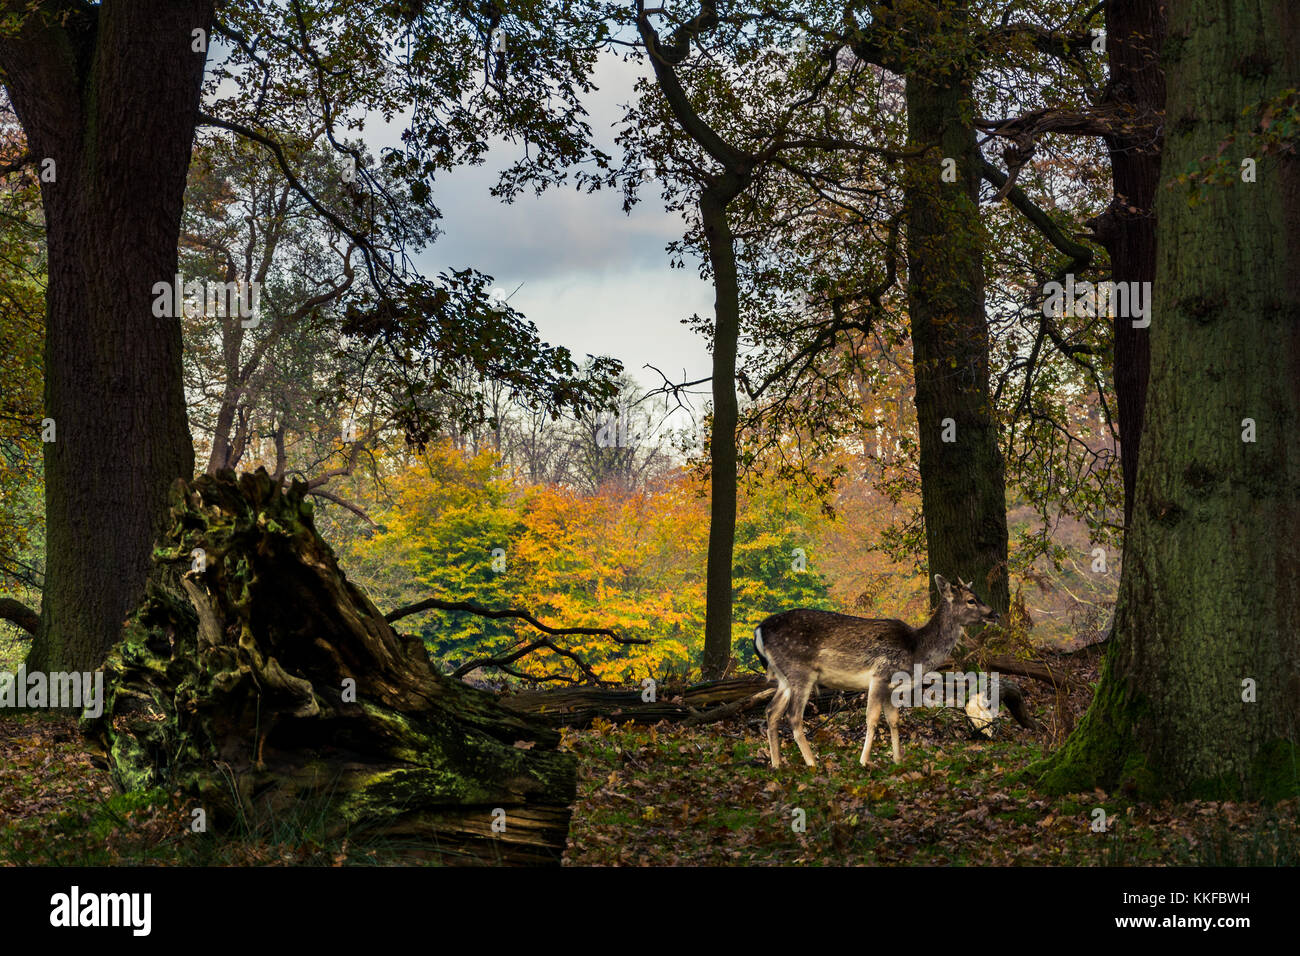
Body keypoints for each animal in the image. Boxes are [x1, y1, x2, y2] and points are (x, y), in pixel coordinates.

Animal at [752, 574, 1000, 769]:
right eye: (971, 600)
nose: (995, 614)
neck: (916, 651)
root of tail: (759, 631)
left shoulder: (891, 686)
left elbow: (893, 720)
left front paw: (898, 759)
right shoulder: (881, 674)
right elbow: (872, 718)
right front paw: (864, 761)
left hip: (784, 678)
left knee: (771, 711)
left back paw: (776, 763)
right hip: (800, 671)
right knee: (793, 715)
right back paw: (812, 762)